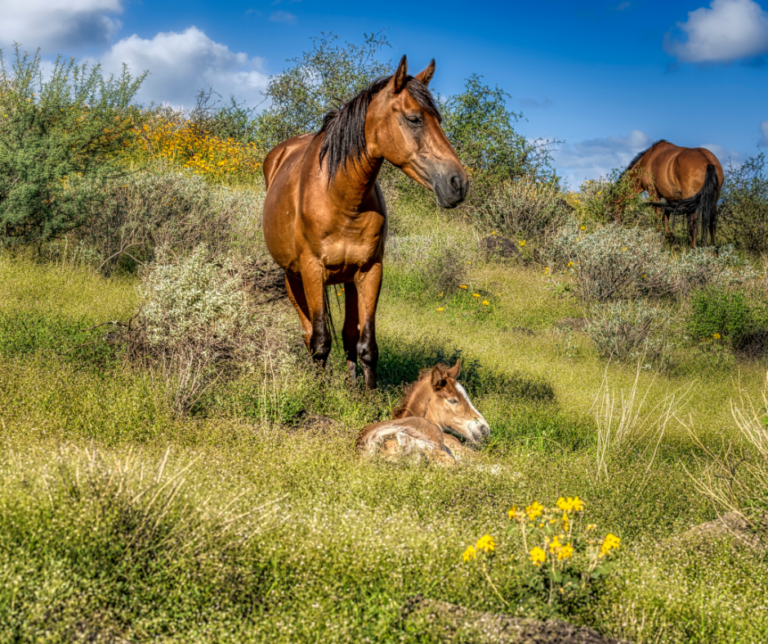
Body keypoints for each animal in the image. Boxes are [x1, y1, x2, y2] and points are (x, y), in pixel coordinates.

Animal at [262, 56, 468, 390]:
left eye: (439, 120)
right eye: (414, 119)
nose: (458, 183)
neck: (342, 198)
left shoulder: (371, 271)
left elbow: (366, 344)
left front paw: (366, 394)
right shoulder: (312, 270)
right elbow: (320, 340)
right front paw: (318, 392)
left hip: (348, 278)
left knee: (348, 333)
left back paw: (352, 383)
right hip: (292, 277)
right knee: (308, 332)